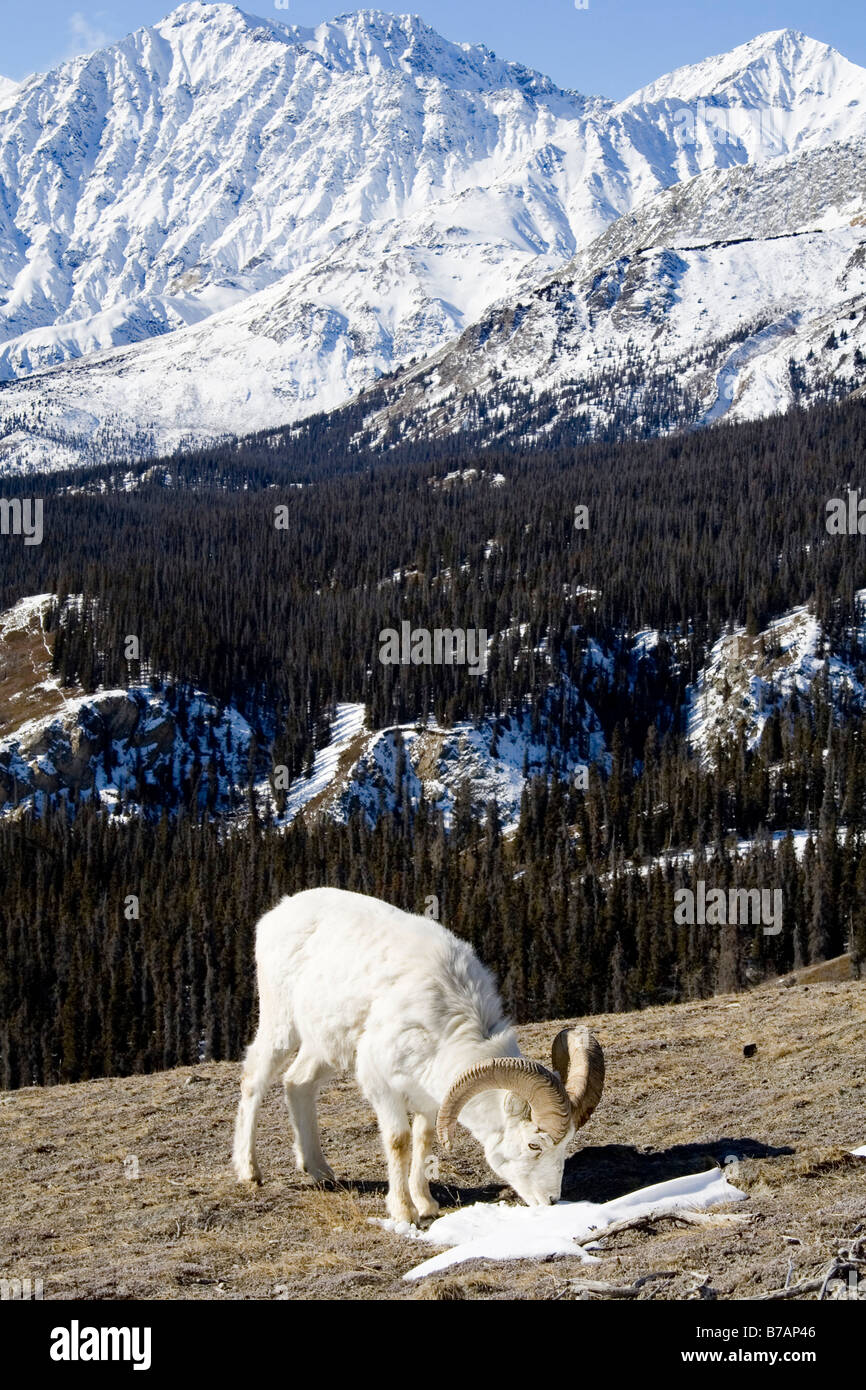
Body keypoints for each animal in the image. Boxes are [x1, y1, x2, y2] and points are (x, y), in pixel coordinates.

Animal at [232, 887, 604, 1224]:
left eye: (566, 1144)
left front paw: (426, 1205)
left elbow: (424, 1140)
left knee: (298, 1084)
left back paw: (321, 1171)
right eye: (533, 1146)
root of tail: (275, 915)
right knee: (254, 1080)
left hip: (324, 1046)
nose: (551, 1200)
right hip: (281, 1025)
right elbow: (399, 1141)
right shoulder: (381, 1084)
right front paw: (404, 1213)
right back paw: (250, 1172)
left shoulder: (430, 1096)